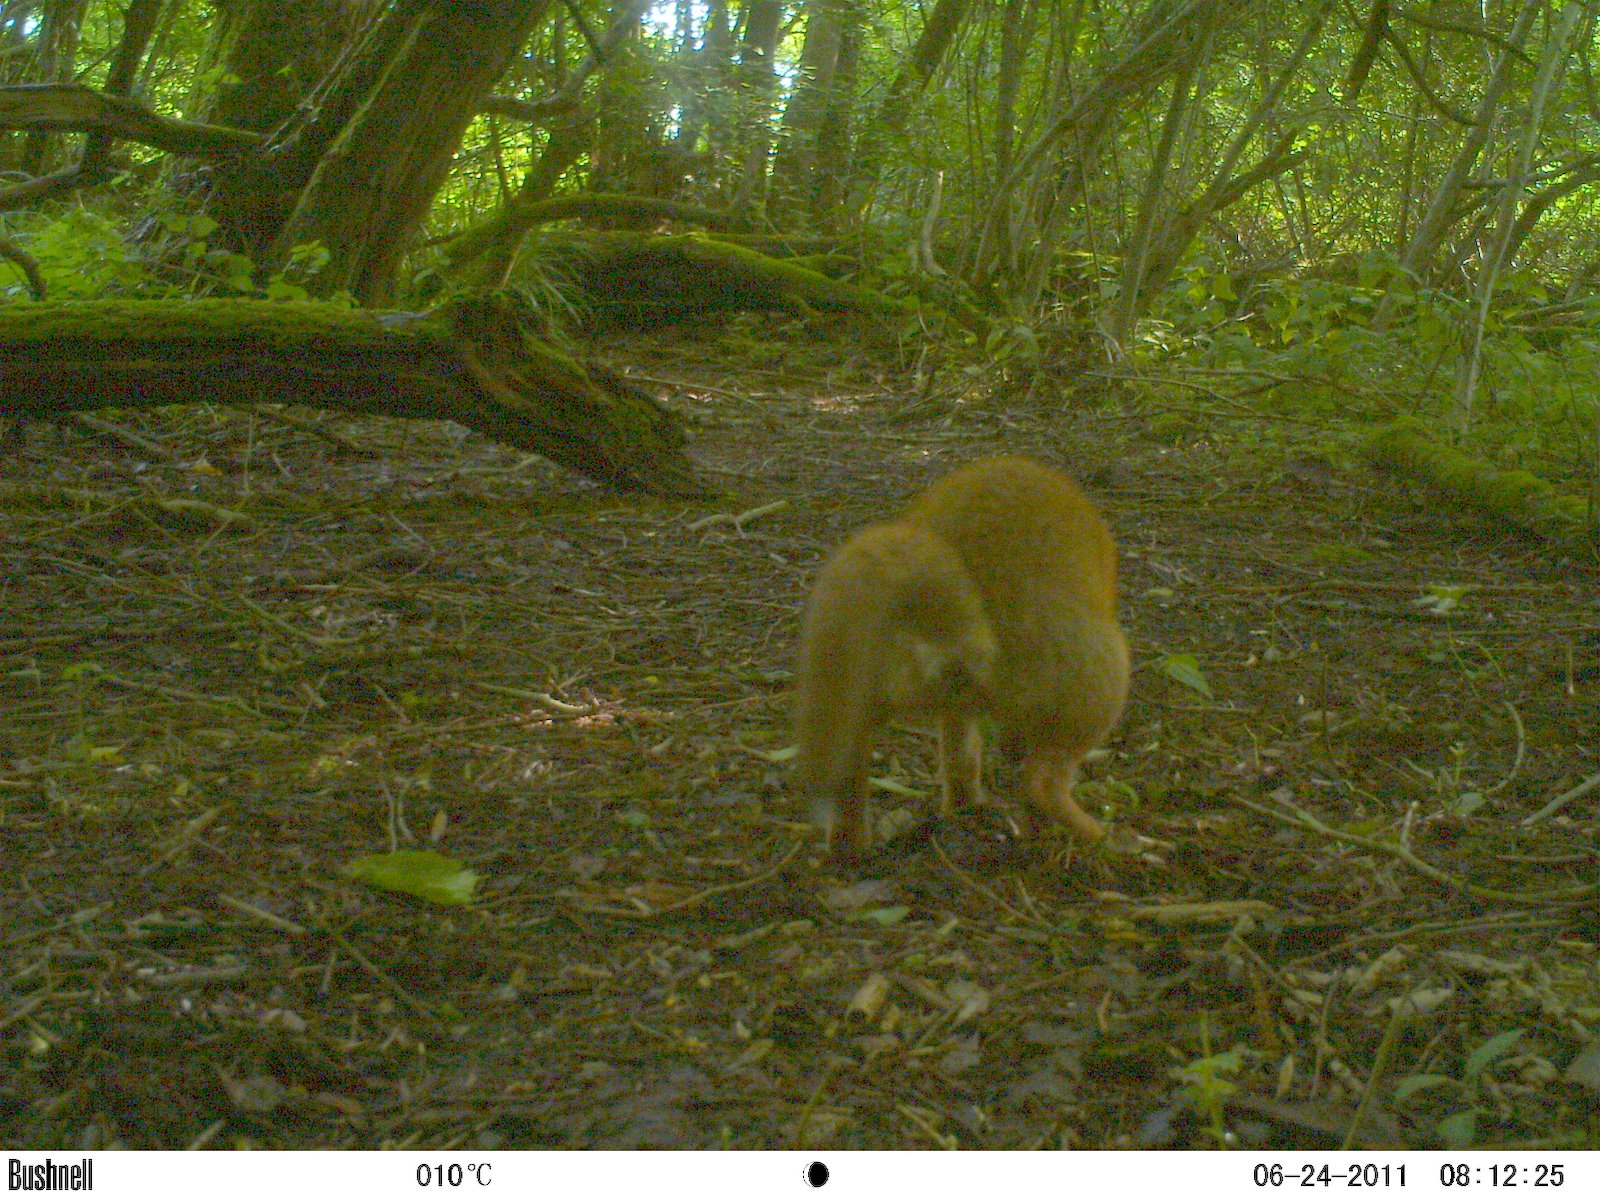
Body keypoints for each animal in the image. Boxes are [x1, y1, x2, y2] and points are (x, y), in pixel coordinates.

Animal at [793, 455, 1129, 855]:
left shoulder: (957, 710)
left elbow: (962, 759)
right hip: (1103, 679)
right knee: (1040, 784)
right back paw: (1103, 837)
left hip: (874, 692)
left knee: (858, 766)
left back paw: (857, 843)